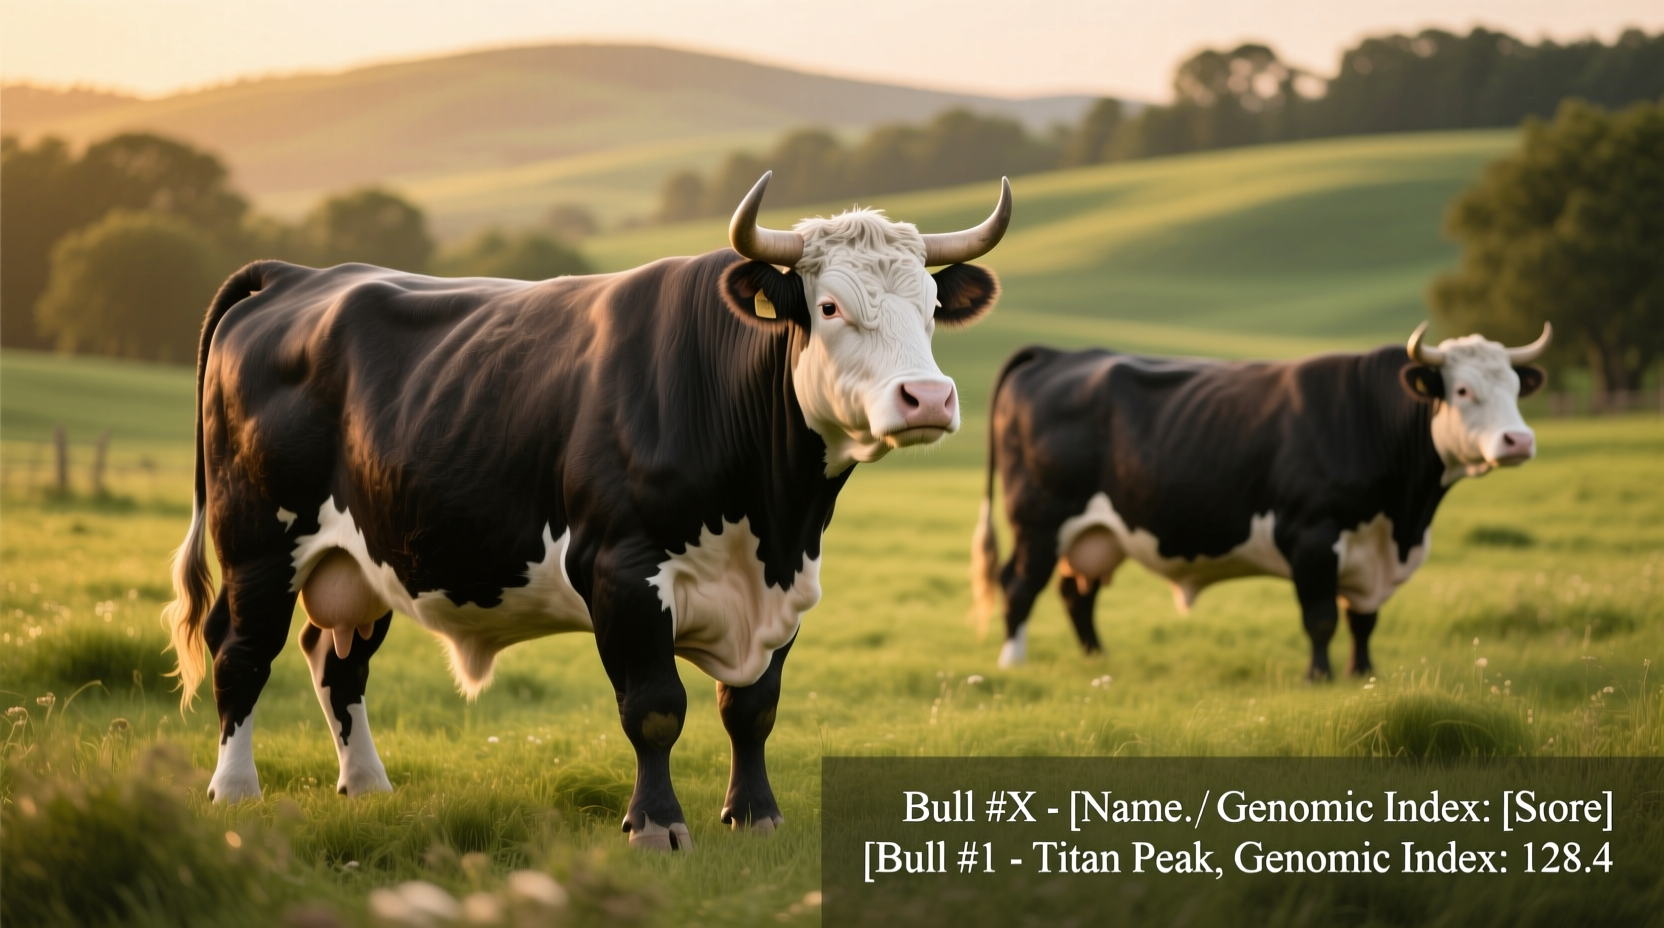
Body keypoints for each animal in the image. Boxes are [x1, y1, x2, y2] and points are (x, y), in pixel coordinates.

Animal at [162, 173, 1011, 850]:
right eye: (830, 306)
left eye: (931, 307)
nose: (928, 398)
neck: (772, 515)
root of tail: (295, 276)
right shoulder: (622, 571)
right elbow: (655, 709)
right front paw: (657, 826)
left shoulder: (785, 587)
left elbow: (752, 709)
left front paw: (755, 815)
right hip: (258, 541)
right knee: (242, 652)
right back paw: (234, 792)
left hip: (365, 556)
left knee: (336, 660)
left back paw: (367, 785)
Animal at [970, 324, 1550, 680]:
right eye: (1462, 391)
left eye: (1515, 386)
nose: (1518, 441)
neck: (1404, 518)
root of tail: (1057, 354)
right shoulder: (1313, 536)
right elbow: (1321, 617)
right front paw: (1319, 677)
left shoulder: (1370, 553)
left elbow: (1363, 621)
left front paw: (1364, 675)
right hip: (1040, 520)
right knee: (1019, 585)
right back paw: (1013, 662)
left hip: (1096, 534)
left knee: (1077, 592)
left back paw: (1097, 660)